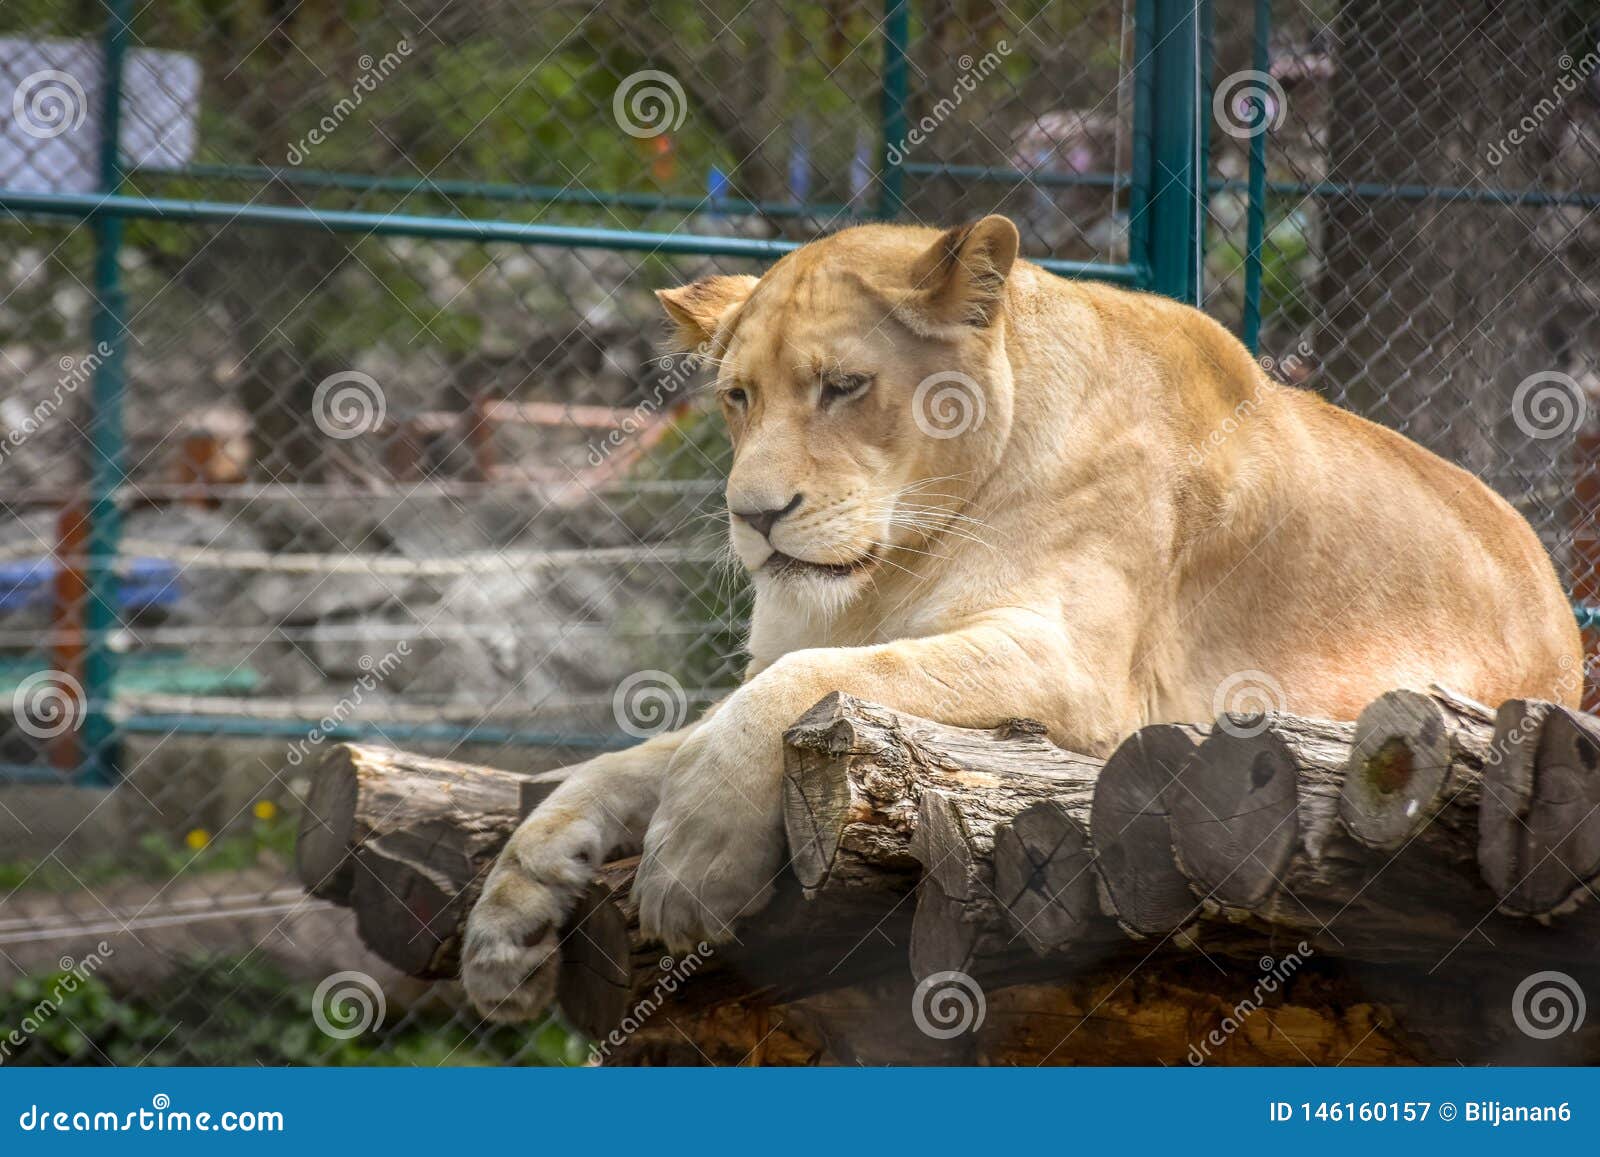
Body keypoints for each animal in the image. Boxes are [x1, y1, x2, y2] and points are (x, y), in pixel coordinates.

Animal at [461, 214, 1581, 1020]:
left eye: (844, 386)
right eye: (737, 397)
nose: (754, 513)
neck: (887, 570)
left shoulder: (1081, 675)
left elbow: (806, 679)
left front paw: (690, 862)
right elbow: (639, 756)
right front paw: (507, 921)